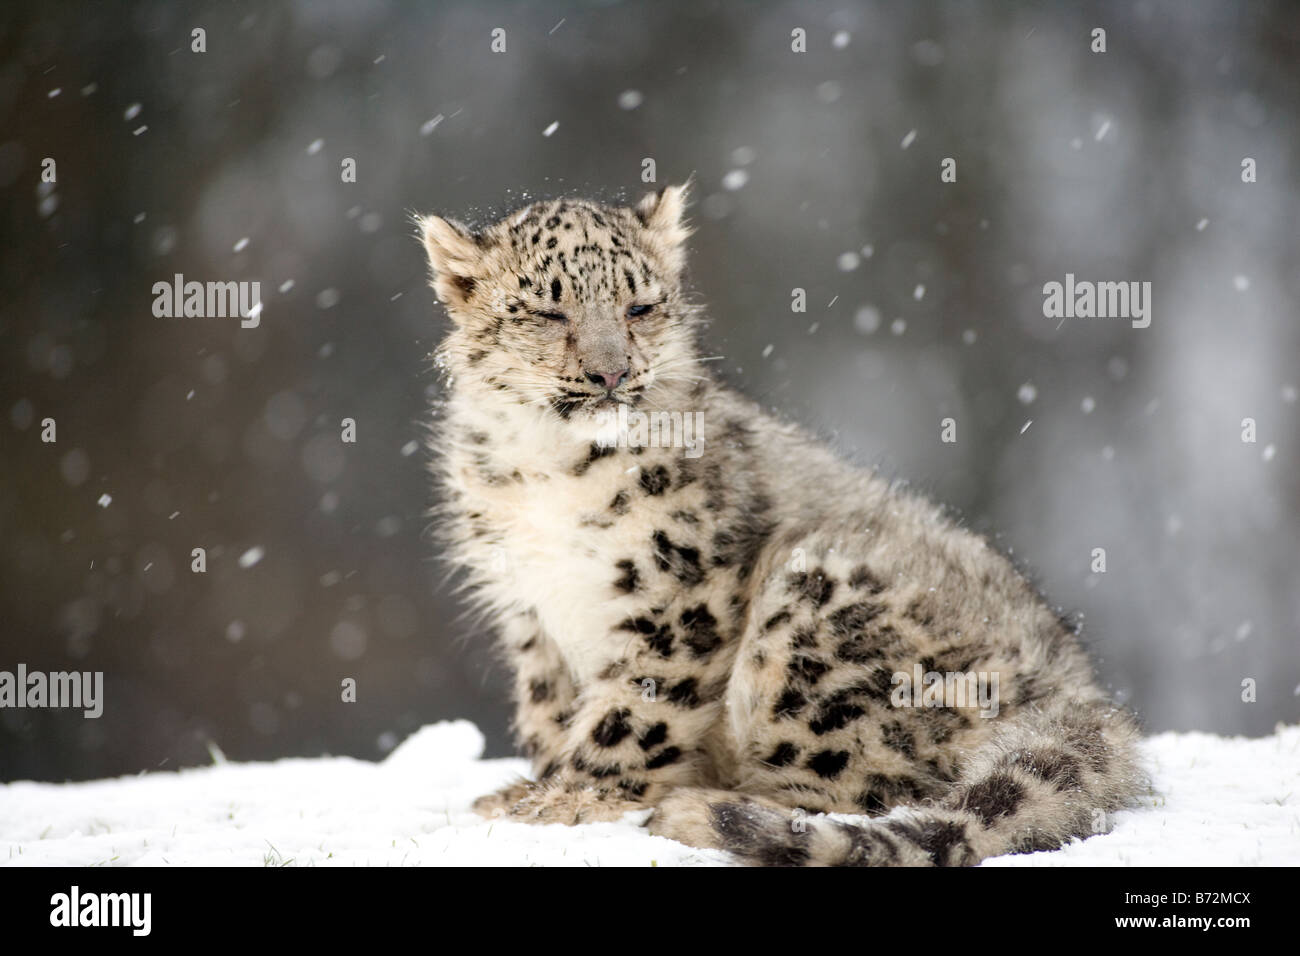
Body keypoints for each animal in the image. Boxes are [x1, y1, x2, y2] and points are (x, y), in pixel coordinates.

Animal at [417, 183, 1145, 866]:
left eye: (639, 307)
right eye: (548, 310)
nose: (611, 373)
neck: (548, 468)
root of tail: (1083, 695)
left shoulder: (682, 587)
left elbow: (637, 707)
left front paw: (570, 798)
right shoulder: (528, 612)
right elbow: (548, 706)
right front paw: (532, 788)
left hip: (818, 620)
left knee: (859, 795)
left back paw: (697, 811)